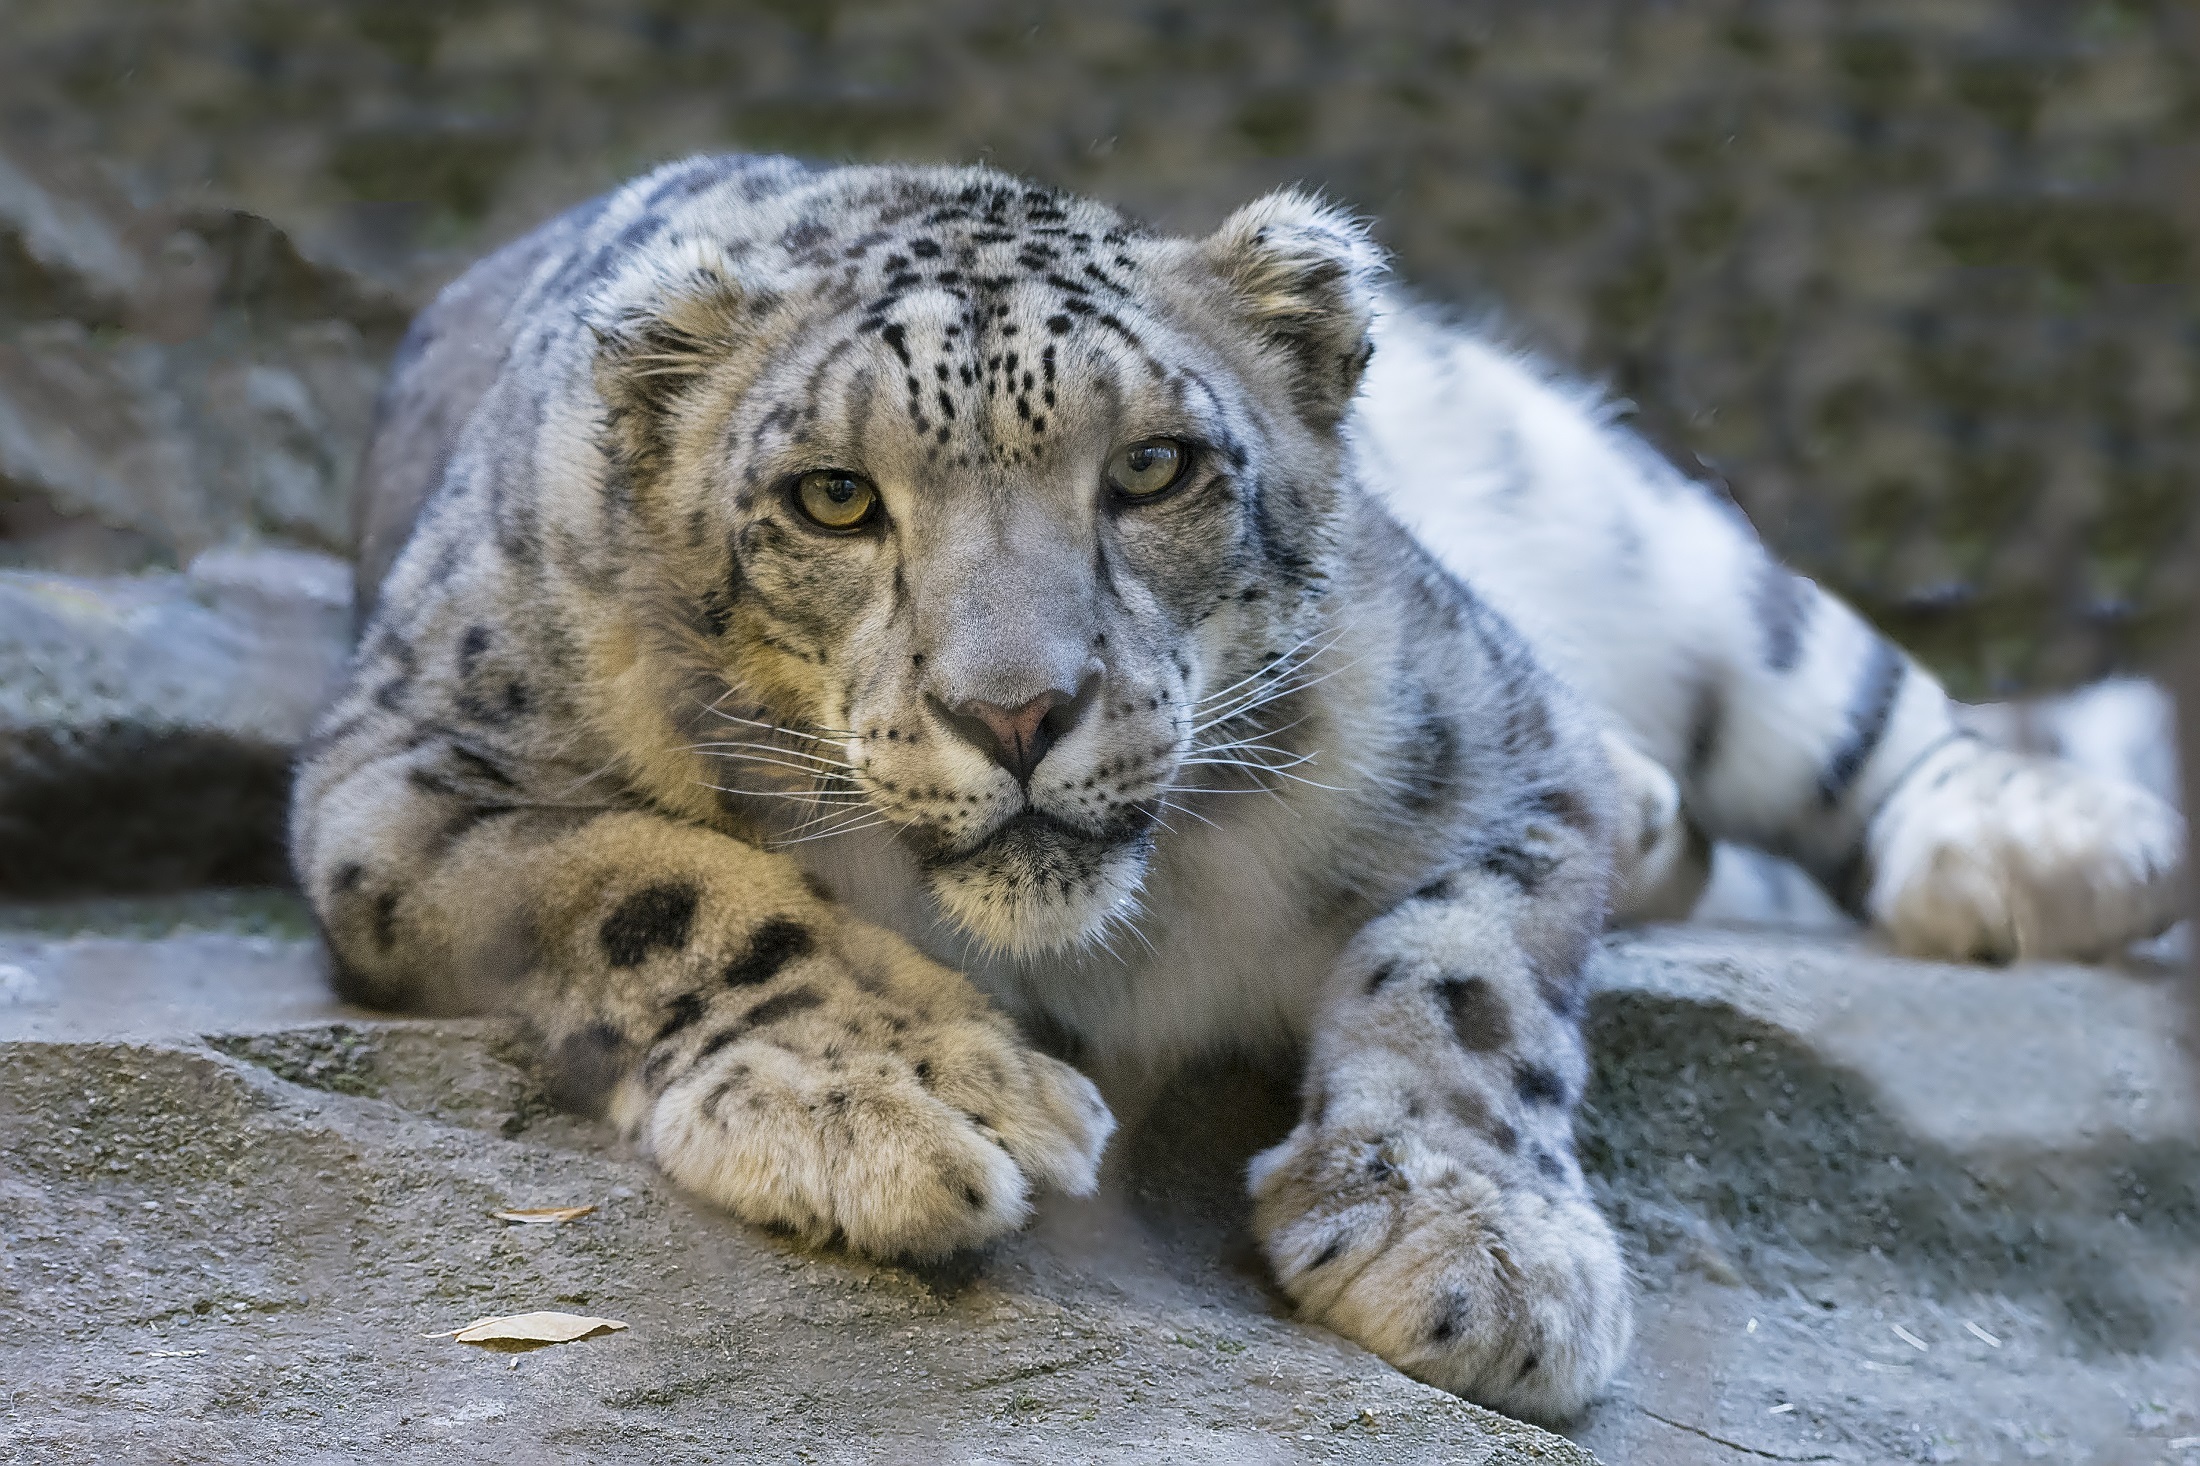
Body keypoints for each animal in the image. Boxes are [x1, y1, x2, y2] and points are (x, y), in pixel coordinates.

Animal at [293, 153, 2185, 1424]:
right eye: (832, 496)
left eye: (1153, 468)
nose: (1017, 708)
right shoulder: (407, 778)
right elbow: (660, 879)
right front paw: (911, 1098)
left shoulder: (1502, 734)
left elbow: (1467, 975)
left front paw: (1470, 1246)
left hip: (1622, 515)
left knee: (1839, 684)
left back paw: (2046, 841)